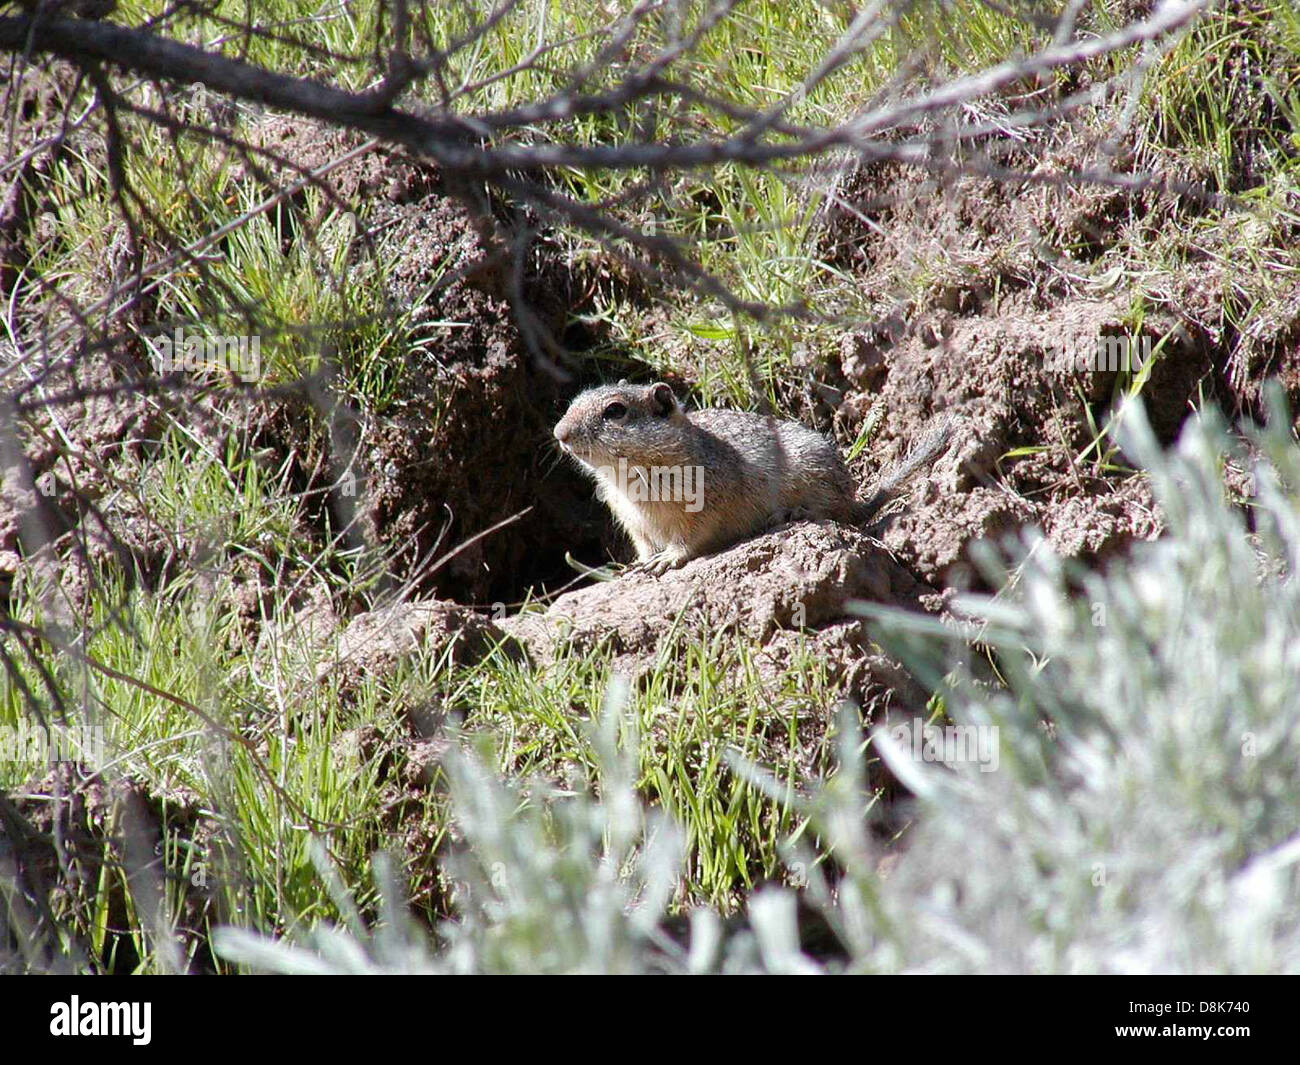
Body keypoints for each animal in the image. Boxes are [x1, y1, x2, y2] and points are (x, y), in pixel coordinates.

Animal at [554, 381, 951, 574]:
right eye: (575, 399)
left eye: (615, 411)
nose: (560, 433)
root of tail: (859, 501)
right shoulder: (634, 523)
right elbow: (645, 547)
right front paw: (638, 564)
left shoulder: (705, 506)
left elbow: (689, 540)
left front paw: (667, 560)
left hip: (816, 474)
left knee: (836, 511)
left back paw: (793, 513)